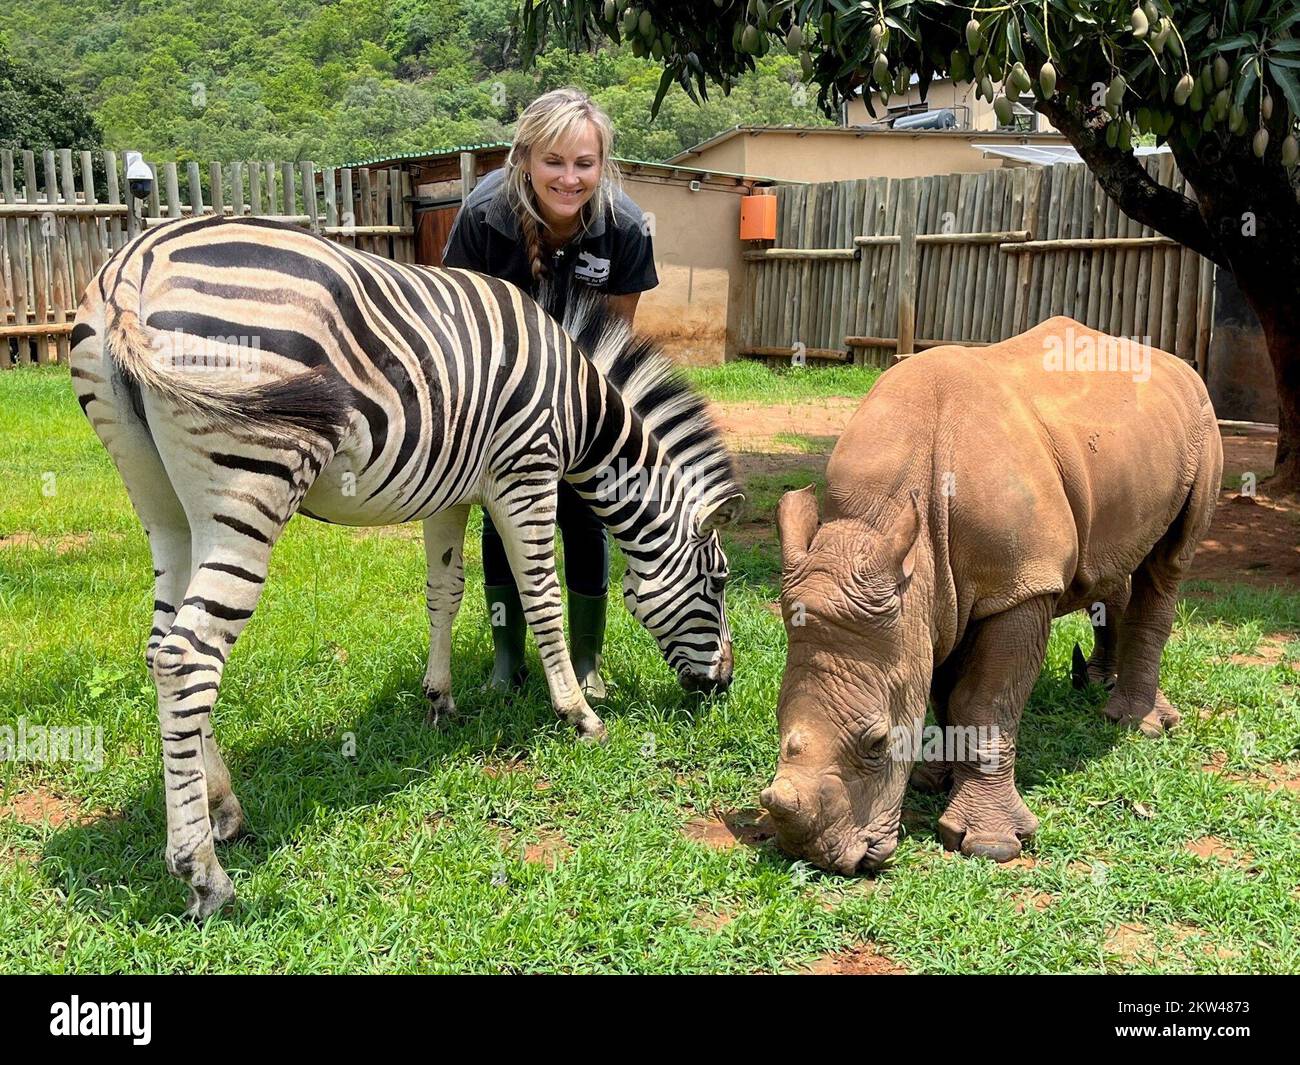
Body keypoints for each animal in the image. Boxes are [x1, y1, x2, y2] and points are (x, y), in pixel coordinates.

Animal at [69, 213, 744, 920]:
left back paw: (223, 805)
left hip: (161, 501)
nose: (724, 684)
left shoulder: (451, 492)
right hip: (251, 482)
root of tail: (133, 265)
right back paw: (203, 873)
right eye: (720, 581)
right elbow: (542, 597)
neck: (579, 406)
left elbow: (445, 591)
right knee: (187, 658)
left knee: (159, 649)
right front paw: (580, 715)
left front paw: (440, 699)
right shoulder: (526, 475)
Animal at [762, 317, 1222, 874]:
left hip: (1203, 424)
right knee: (1116, 564)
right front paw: (934, 779)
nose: (816, 856)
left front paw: (990, 844)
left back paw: (1137, 725)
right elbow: (940, 688)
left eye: (877, 743)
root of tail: (1181, 366)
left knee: (1169, 562)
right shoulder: (927, 598)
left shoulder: (1019, 585)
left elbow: (984, 698)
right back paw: (1110, 689)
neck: (876, 517)